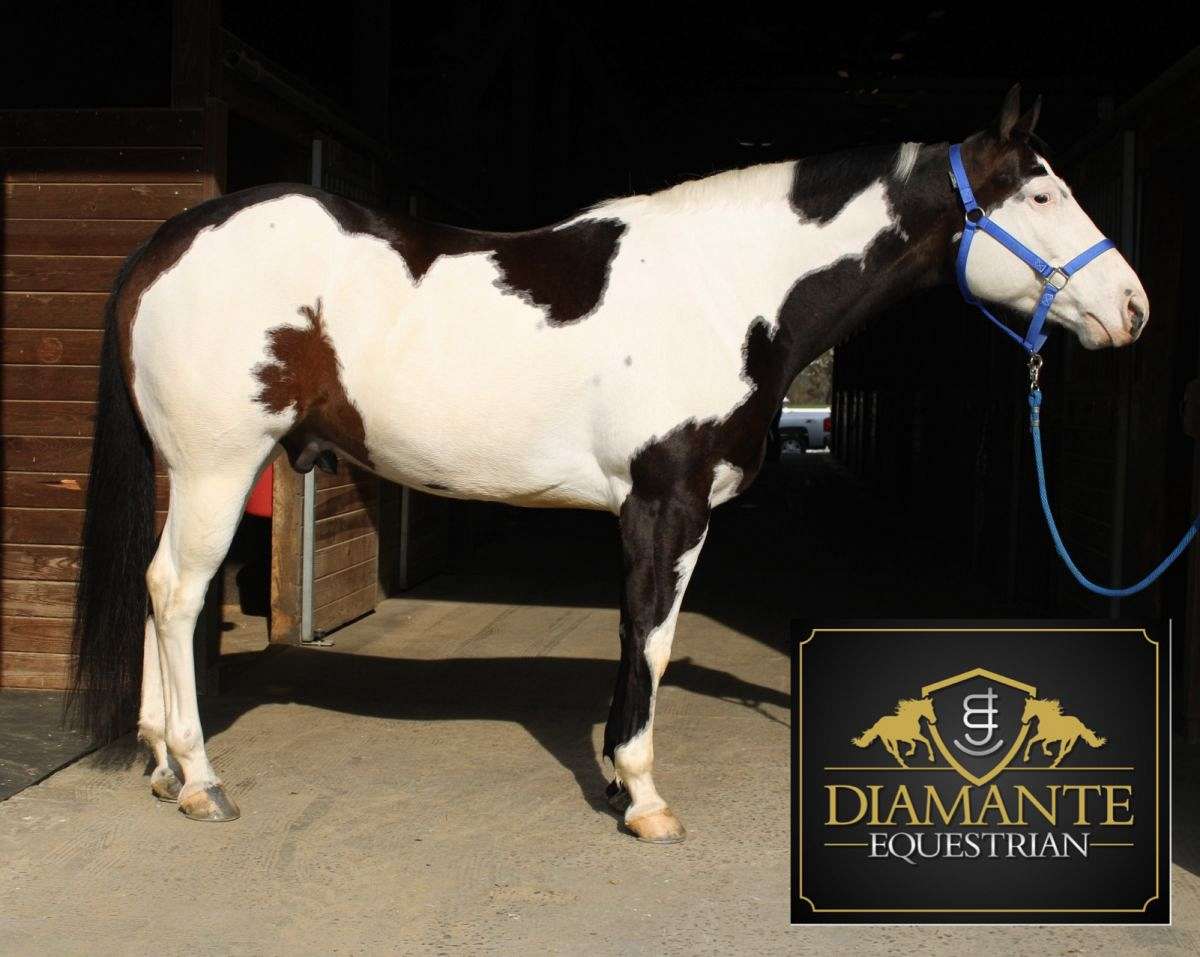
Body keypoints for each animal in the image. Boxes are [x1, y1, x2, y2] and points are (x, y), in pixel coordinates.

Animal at [70, 85, 1147, 844]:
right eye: (1042, 190)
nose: (1133, 307)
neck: (725, 287)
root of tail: (171, 238)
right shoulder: (667, 504)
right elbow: (652, 640)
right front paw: (643, 796)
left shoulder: (652, 510)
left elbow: (636, 636)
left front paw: (613, 775)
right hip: (218, 464)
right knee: (177, 592)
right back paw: (202, 782)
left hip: (187, 467)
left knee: (163, 586)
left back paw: (162, 763)